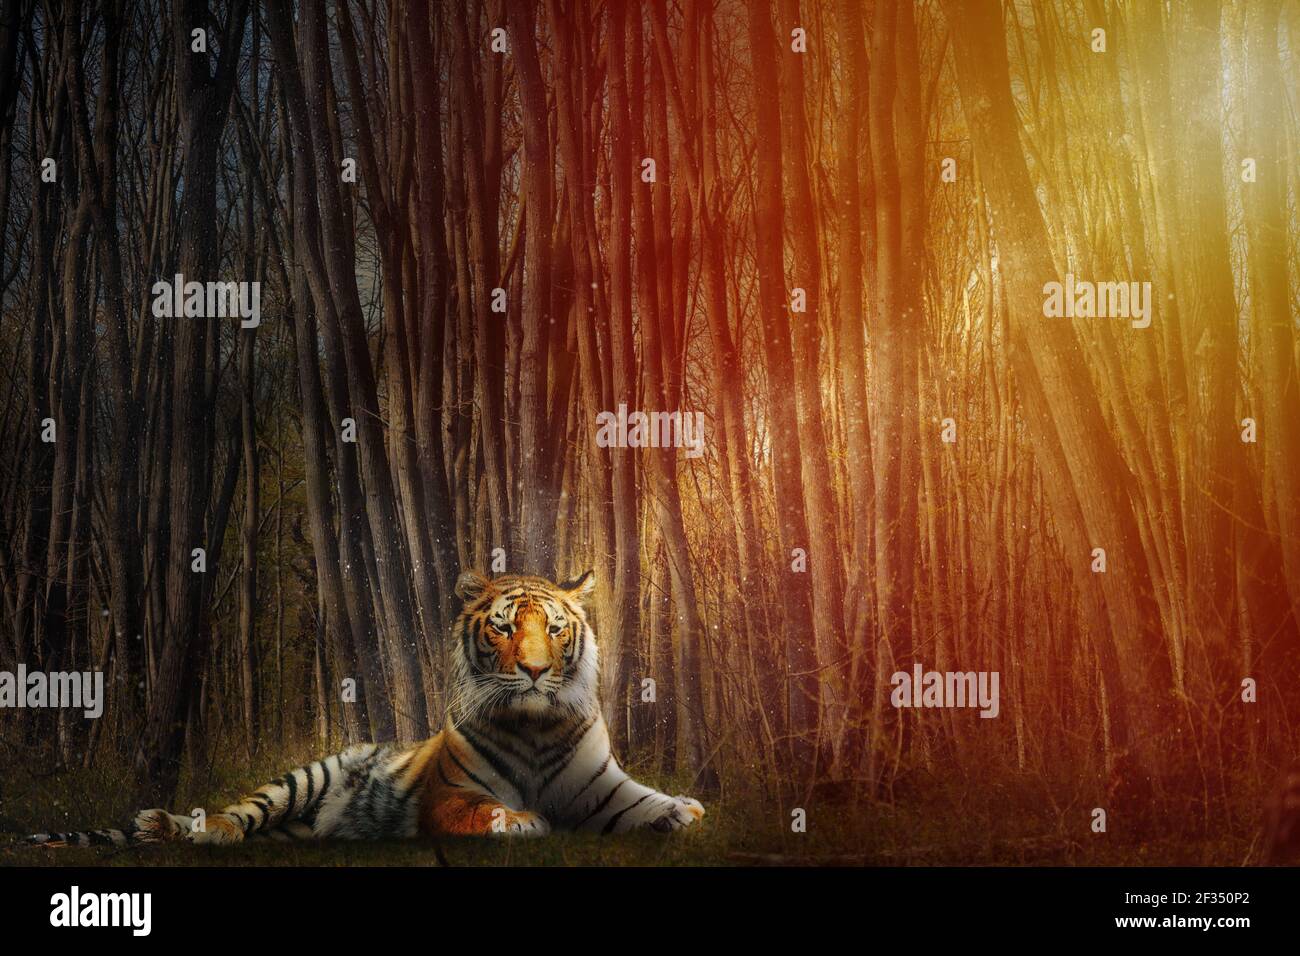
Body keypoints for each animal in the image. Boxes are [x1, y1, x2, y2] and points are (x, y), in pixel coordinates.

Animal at [26, 569, 704, 847]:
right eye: (506, 627)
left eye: (556, 629)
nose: (536, 671)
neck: (536, 728)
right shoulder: (448, 796)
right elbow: (486, 809)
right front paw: (522, 821)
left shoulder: (603, 786)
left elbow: (645, 803)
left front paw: (684, 810)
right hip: (299, 781)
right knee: (236, 814)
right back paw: (192, 828)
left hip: (300, 823)